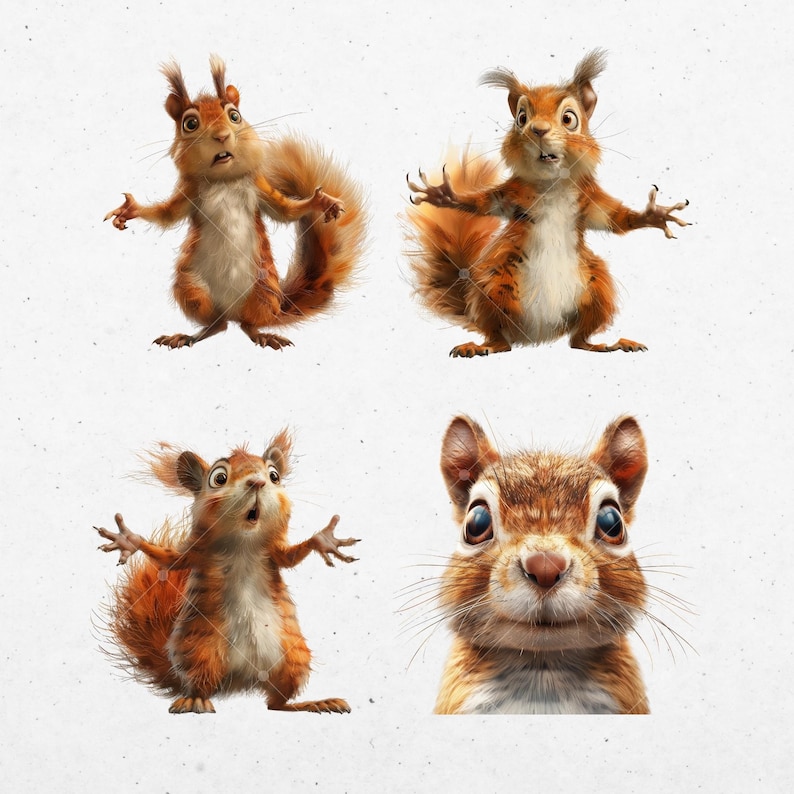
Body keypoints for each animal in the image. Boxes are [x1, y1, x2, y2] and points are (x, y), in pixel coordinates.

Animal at [95, 432, 359, 714]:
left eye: (274, 475)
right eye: (219, 478)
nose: (257, 482)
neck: (244, 542)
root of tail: (242, 680)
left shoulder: (273, 555)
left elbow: (290, 558)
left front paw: (325, 540)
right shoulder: (196, 553)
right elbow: (172, 561)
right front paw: (128, 540)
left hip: (293, 659)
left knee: (276, 703)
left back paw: (312, 703)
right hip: (202, 651)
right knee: (203, 684)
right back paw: (194, 700)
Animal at [104, 55, 366, 349]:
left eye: (234, 116)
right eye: (189, 124)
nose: (221, 136)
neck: (224, 181)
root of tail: (232, 310)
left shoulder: (259, 186)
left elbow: (285, 211)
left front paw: (323, 201)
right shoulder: (189, 192)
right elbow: (167, 214)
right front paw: (129, 209)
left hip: (262, 292)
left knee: (246, 325)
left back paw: (263, 334)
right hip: (192, 289)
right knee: (218, 325)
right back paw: (189, 336)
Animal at [406, 49, 689, 357]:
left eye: (568, 118)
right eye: (521, 118)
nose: (538, 130)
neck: (552, 184)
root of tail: (537, 334)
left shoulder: (590, 200)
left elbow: (615, 220)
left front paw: (656, 215)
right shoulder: (511, 195)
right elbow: (482, 203)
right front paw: (443, 195)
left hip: (597, 289)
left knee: (578, 339)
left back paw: (609, 344)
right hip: (494, 287)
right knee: (500, 339)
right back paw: (482, 346)